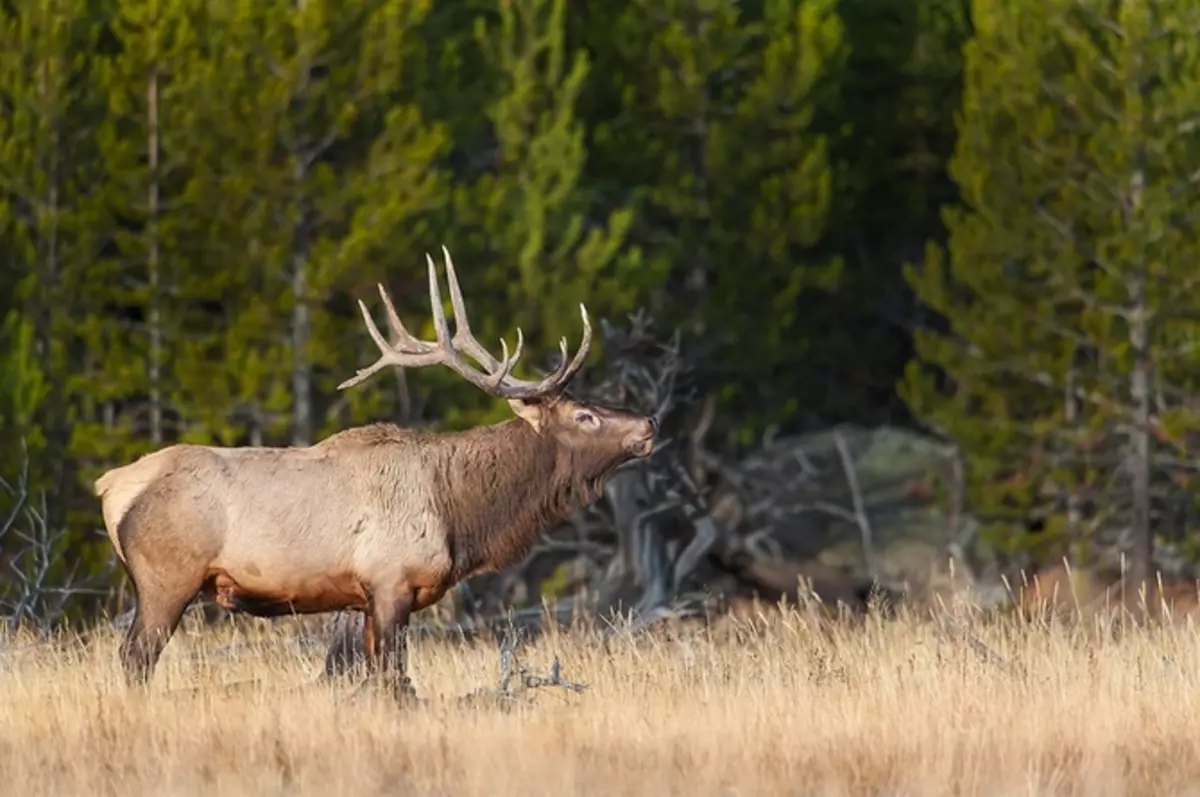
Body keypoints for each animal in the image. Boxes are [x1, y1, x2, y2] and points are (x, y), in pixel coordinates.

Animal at [92, 247, 657, 696]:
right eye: (584, 415)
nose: (649, 422)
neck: (461, 514)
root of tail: (110, 486)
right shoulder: (391, 582)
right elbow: (393, 680)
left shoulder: (363, 599)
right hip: (167, 577)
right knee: (135, 658)